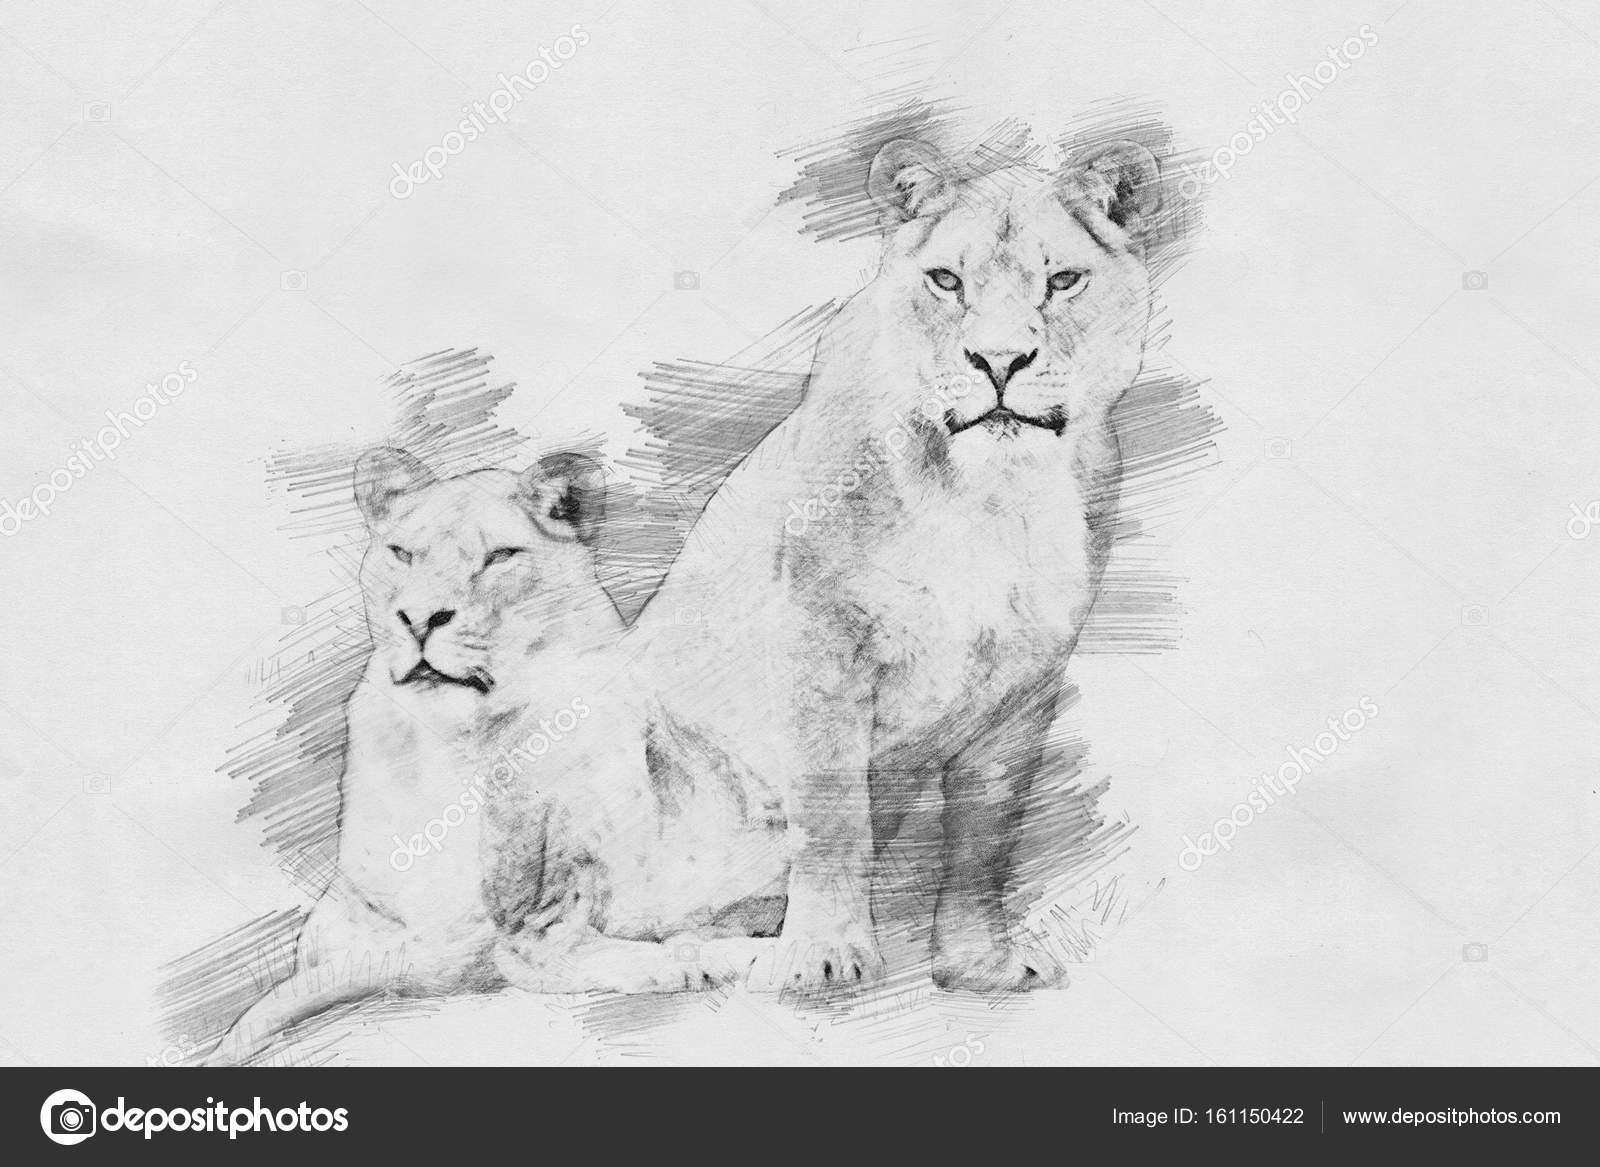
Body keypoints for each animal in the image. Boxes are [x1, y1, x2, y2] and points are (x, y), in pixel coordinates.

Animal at [632, 136, 1162, 993]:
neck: (989, 497)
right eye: (946, 281)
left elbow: (986, 832)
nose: (1000, 360)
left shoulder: (1027, 676)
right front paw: (823, 956)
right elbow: (832, 812)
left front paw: (982, 962)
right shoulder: (819, 640)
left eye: (1063, 281)